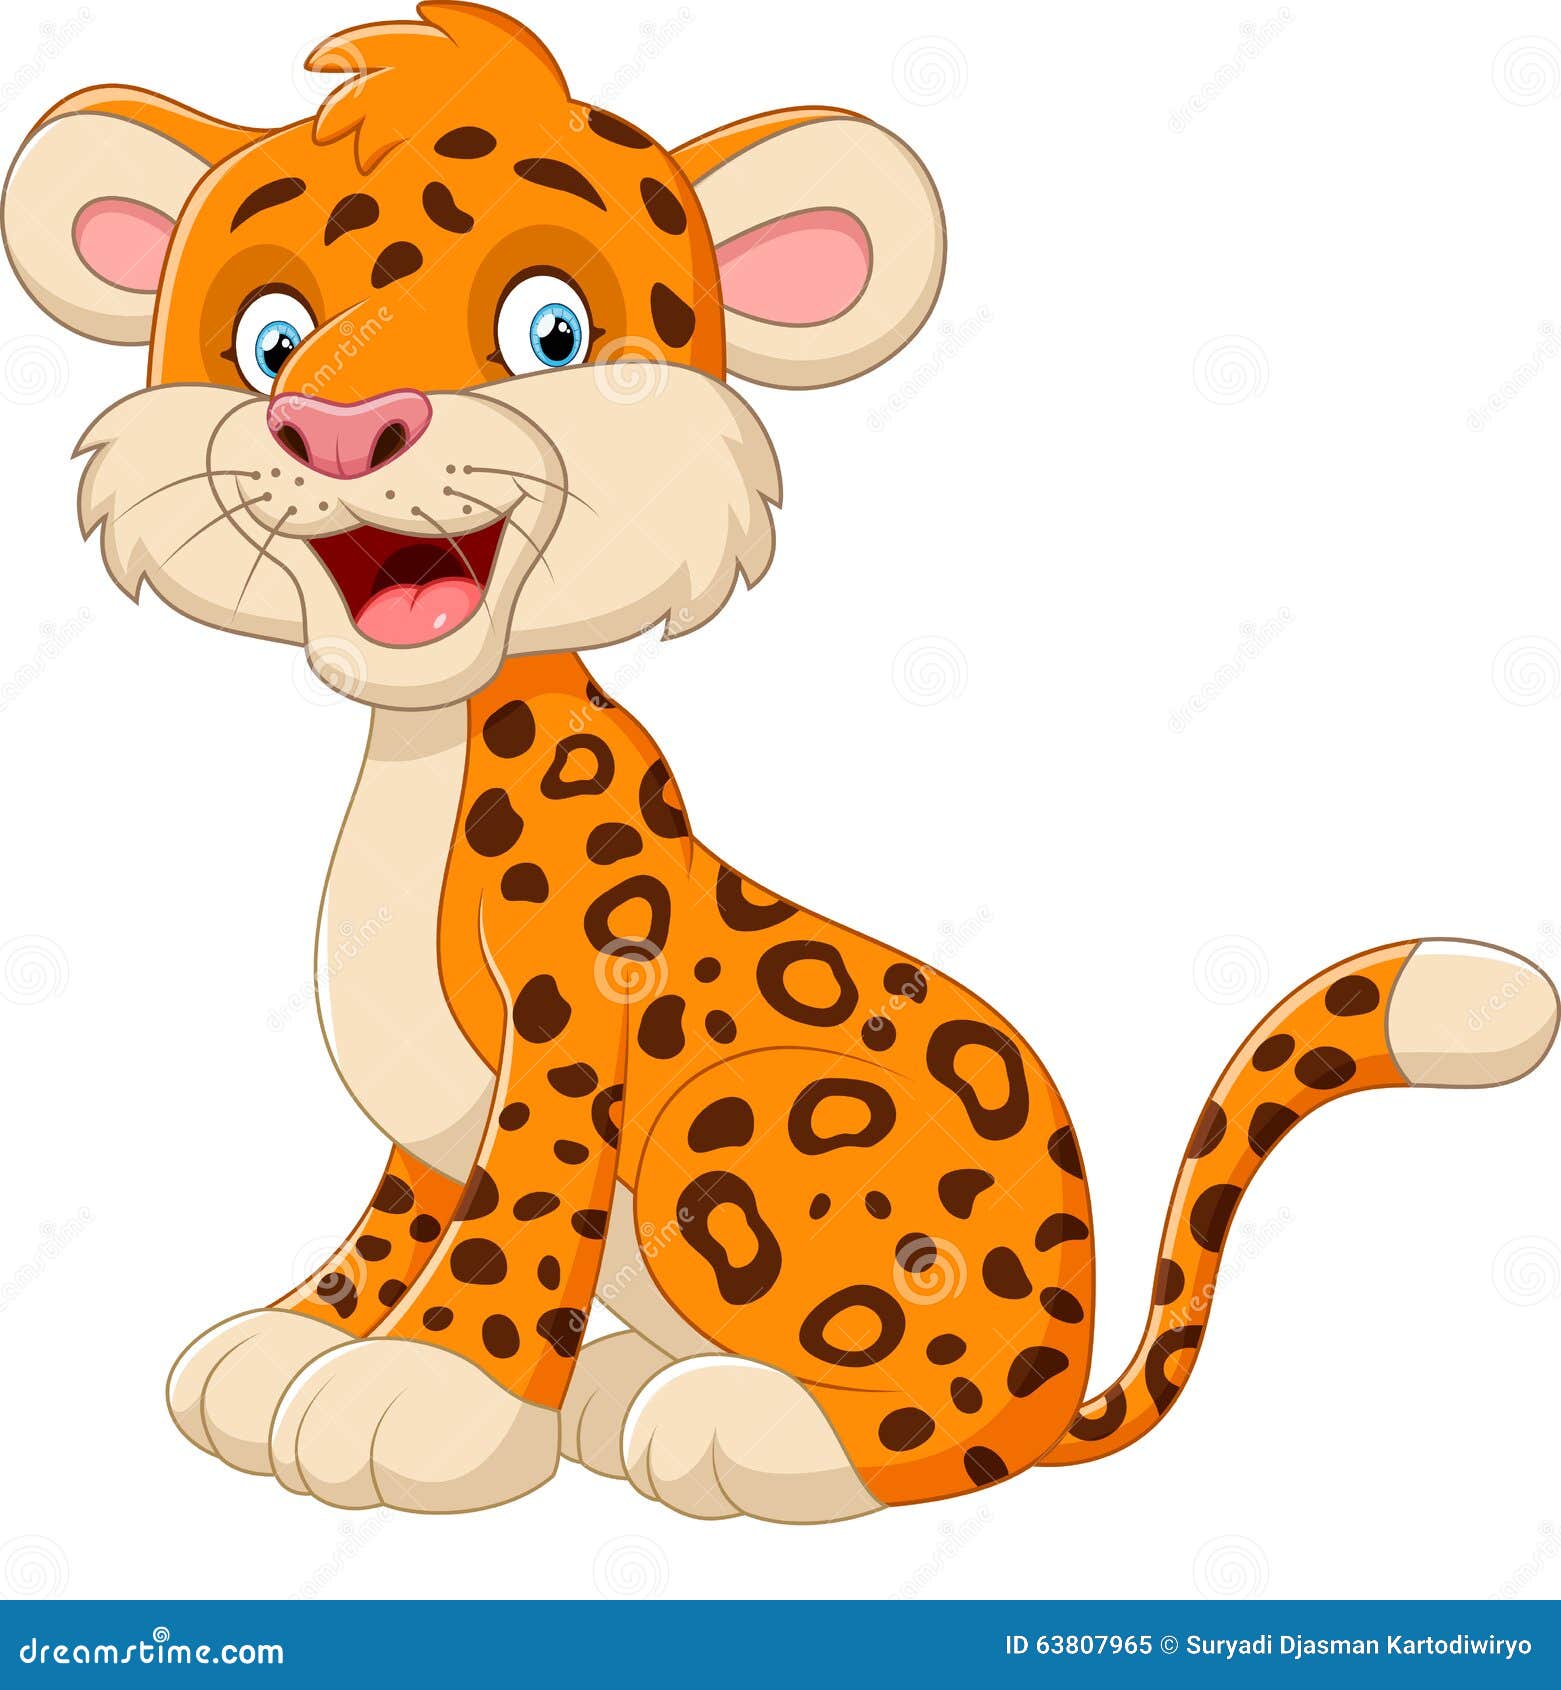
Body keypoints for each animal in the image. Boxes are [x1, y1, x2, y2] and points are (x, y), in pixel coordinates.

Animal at [4, 2, 1556, 1521]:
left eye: (549, 328)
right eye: (270, 338)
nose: (334, 426)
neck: (427, 741)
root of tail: (1068, 1373)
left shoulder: (574, 1023)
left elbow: (516, 1213)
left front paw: (424, 1396)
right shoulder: (424, 1089)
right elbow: (403, 1208)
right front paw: (297, 1337)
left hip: (735, 1117)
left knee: (941, 1432)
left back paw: (725, 1423)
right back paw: (625, 1387)